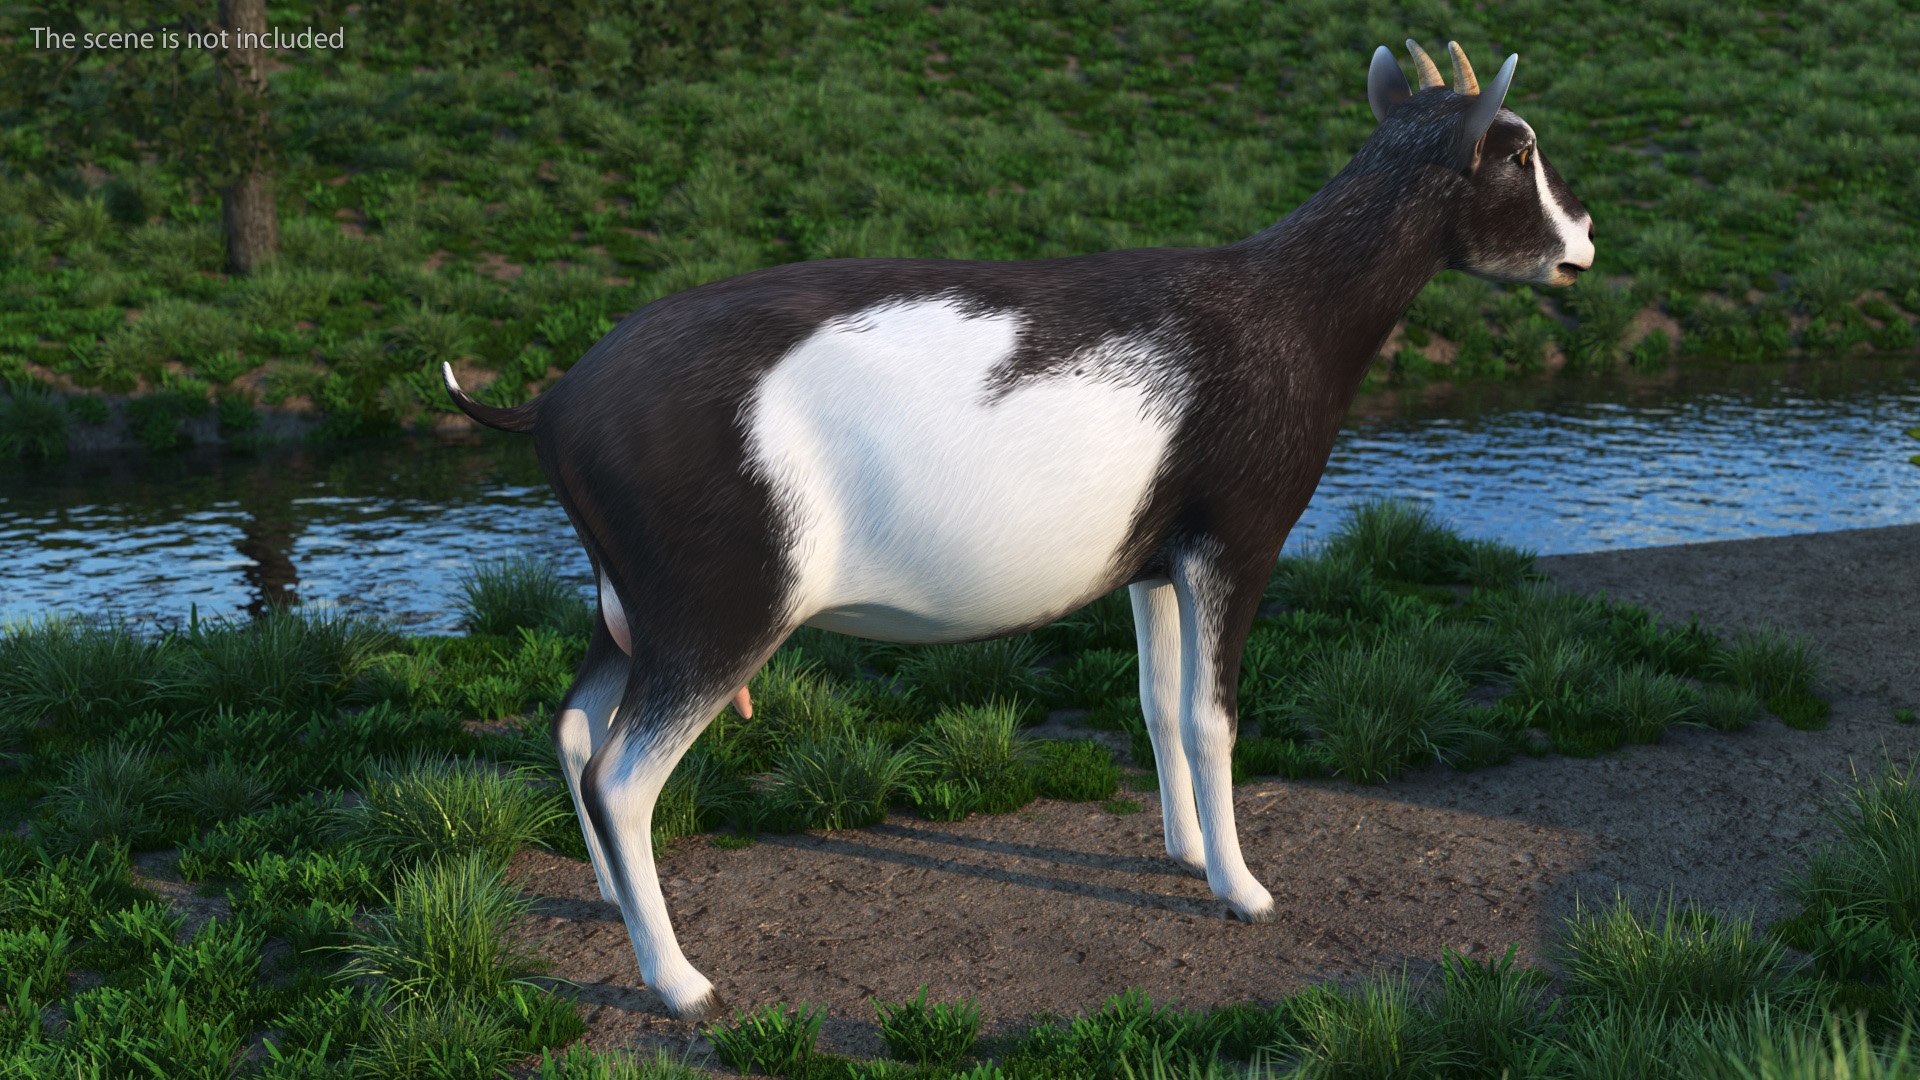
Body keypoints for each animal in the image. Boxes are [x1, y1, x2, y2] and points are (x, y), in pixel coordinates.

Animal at [444, 40, 1594, 1020]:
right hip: (716, 620)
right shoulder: (1236, 546)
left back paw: (610, 903)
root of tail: (552, 404)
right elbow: (1213, 718)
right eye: (1519, 151)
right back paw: (680, 983)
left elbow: (1156, 706)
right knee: (621, 775)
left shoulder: (1157, 565)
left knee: (572, 728)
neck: (1287, 311)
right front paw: (1246, 891)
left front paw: (1187, 855)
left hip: (628, 610)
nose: (1586, 238)